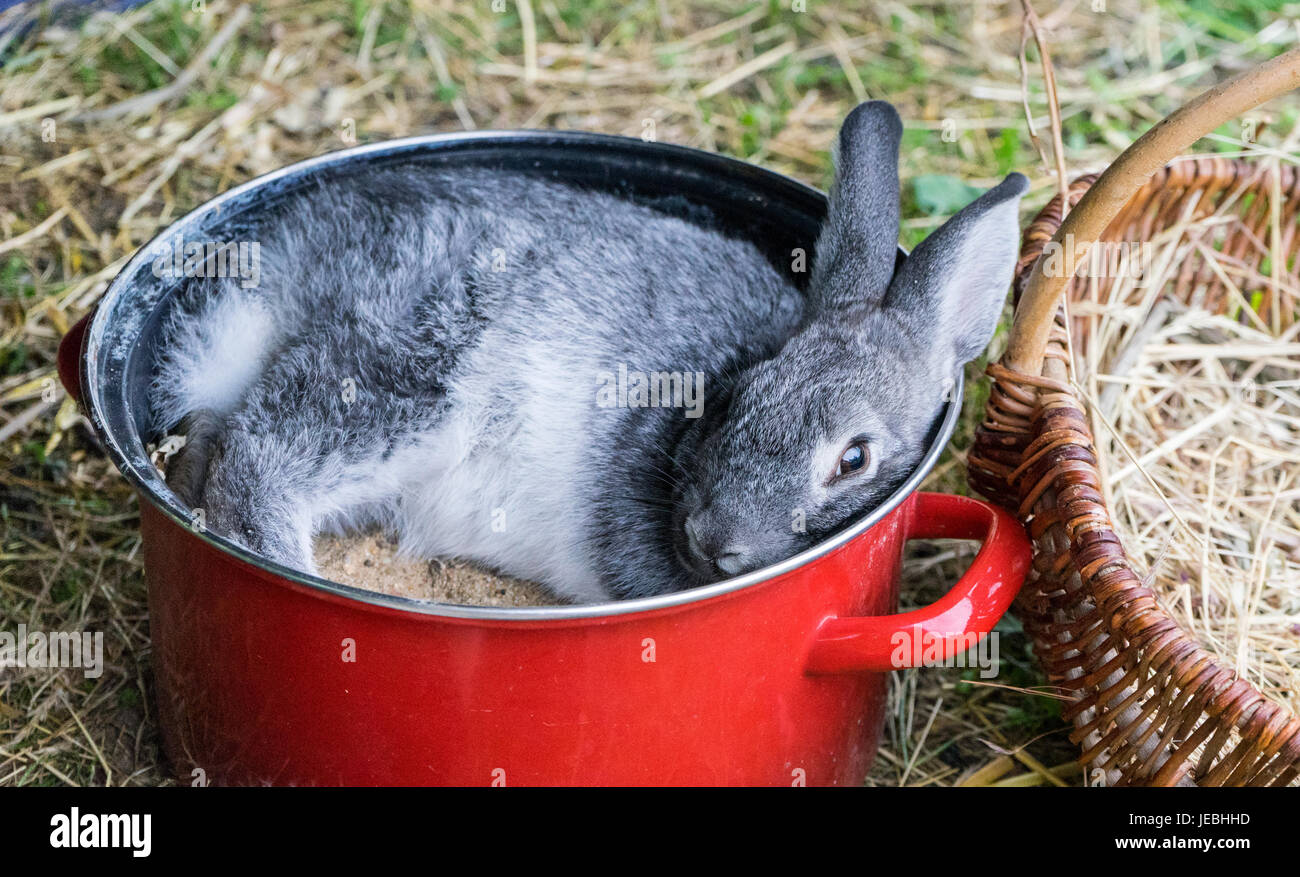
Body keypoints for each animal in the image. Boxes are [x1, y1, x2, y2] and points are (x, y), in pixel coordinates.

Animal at [150, 100, 1027, 603]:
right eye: (734, 398)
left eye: (855, 459)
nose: (714, 539)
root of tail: (281, 265)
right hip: (410, 369)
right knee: (258, 457)